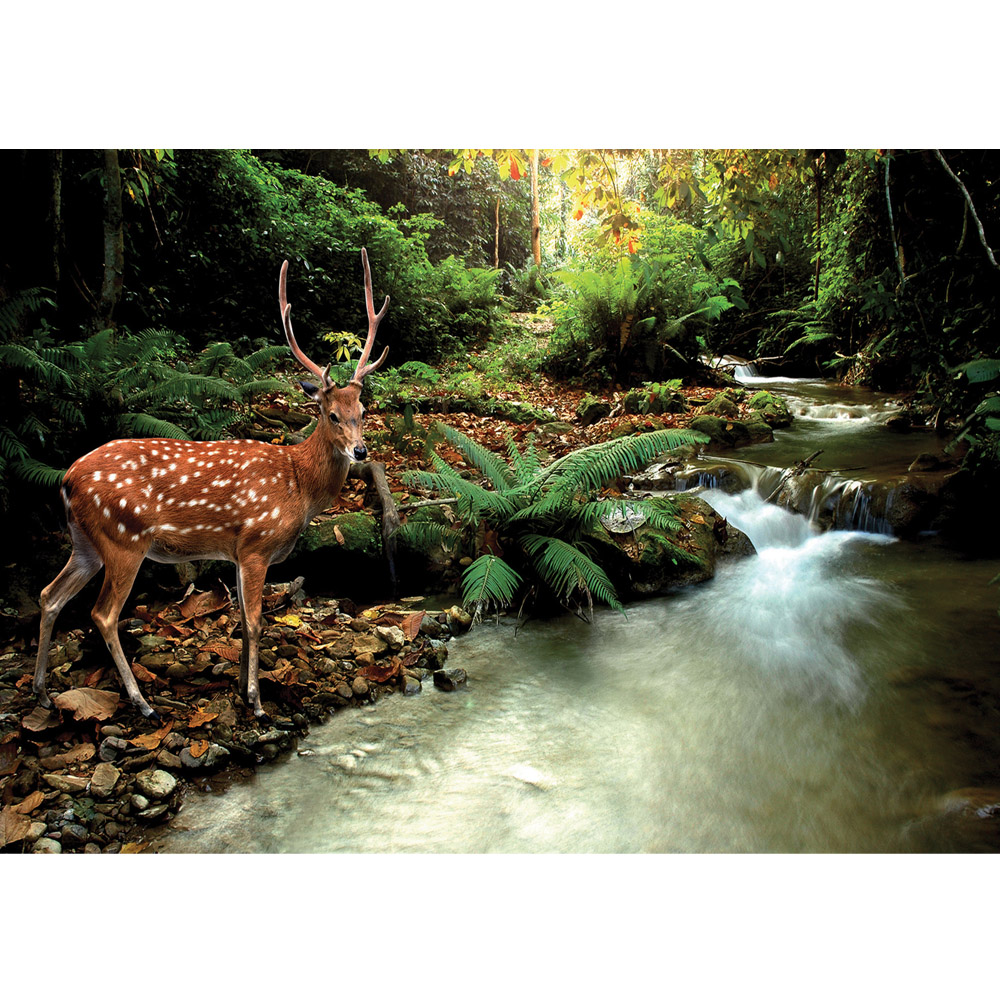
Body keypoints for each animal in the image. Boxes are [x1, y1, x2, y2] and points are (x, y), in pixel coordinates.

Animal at [33, 248, 390, 722]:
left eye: (363, 411)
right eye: (331, 414)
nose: (361, 451)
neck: (298, 485)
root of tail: (67, 479)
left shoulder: (237, 551)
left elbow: (241, 619)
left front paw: (241, 688)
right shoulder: (257, 542)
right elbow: (256, 621)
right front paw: (256, 702)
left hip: (85, 541)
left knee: (49, 595)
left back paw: (40, 691)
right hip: (124, 538)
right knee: (103, 613)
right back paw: (143, 703)